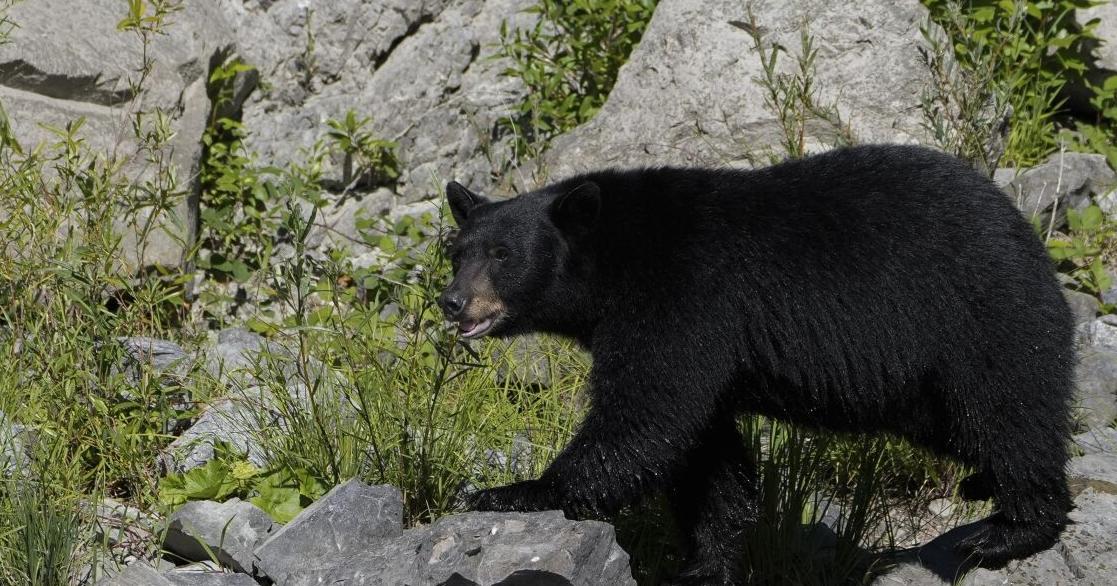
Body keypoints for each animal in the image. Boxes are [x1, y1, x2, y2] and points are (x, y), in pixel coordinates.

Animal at [439, 144, 1074, 585]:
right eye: (457, 252)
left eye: (503, 255)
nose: (452, 301)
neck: (614, 258)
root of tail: (1023, 229)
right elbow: (707, 456)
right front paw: (705, 564)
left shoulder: (683, 295)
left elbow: (645, 416)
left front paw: (513, 492)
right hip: (925, 388)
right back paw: (982, 485)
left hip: (975, 316)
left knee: (1007, 412)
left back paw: (1007, 530)